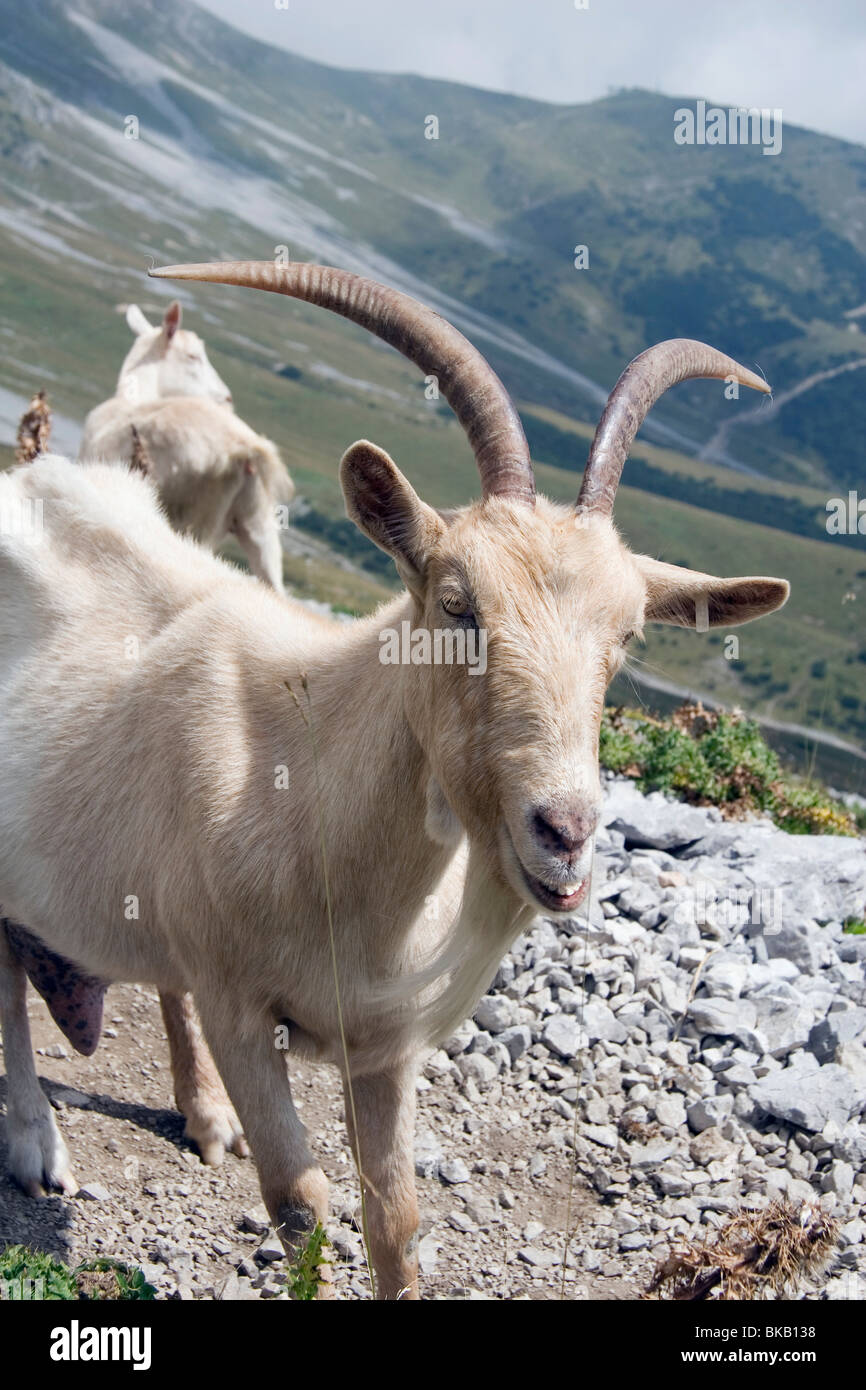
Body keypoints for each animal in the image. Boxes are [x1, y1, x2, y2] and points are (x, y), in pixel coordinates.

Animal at [0, 261, 789, 1299]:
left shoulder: (383, 1046)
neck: (303, 780)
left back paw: (192, 1117)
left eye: (627, 638)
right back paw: (34, 1144)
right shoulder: (239, 1009)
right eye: (456, 604)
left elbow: (397, 1222)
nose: (566, 834)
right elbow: (301, 1201)